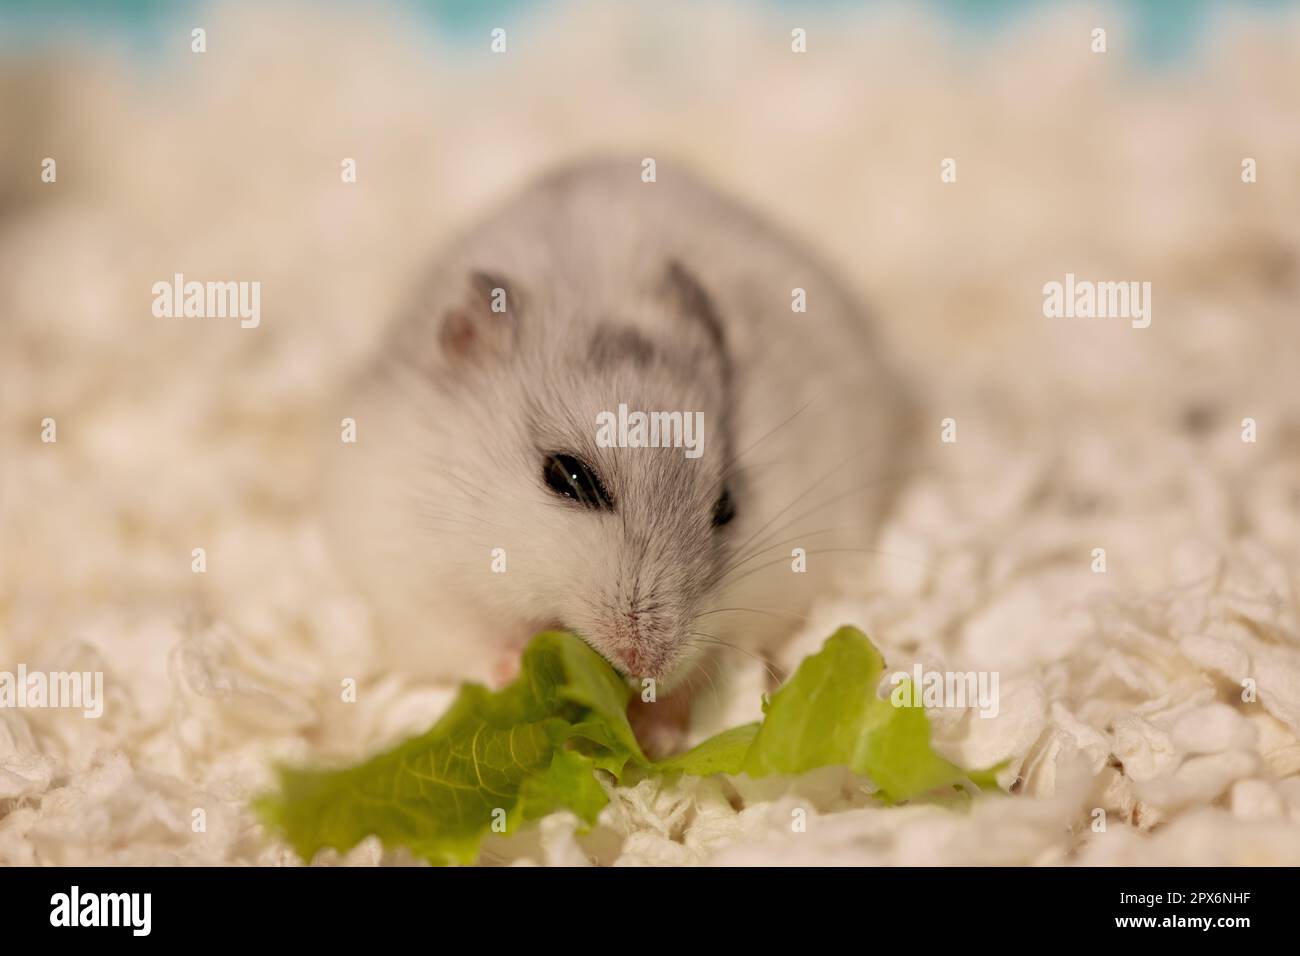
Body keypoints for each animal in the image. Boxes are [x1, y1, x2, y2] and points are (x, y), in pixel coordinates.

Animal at [324, 158, 914, 698]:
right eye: (567, 476)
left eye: (726, 507)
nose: (647, 664)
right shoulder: (412, 574)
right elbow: (471, 642)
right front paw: (516, 670)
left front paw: (658, 719)